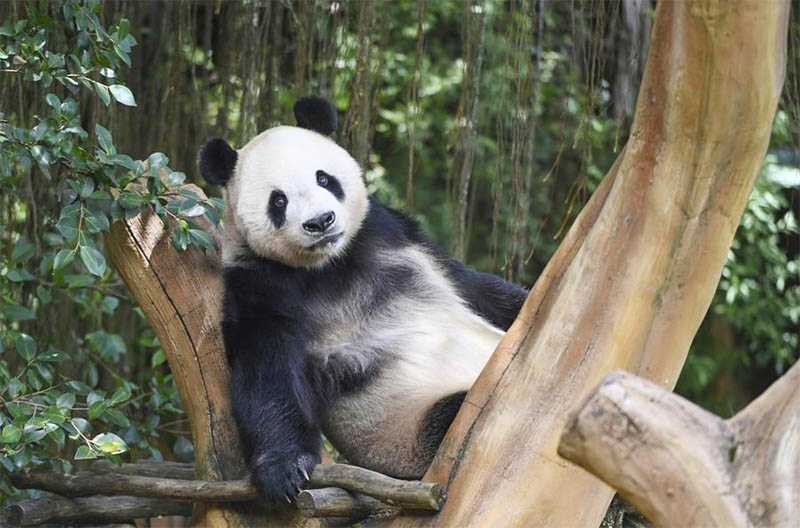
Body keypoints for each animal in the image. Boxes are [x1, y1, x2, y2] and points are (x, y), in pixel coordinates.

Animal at [197, 96, 527, 505]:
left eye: (324, 179)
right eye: (278, 201)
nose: (320, 222)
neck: (331, 265)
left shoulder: (392, 234)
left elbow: (478, 288)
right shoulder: (260, 284)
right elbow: (266, 372)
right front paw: (283, 472)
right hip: (415, 431)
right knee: (456, 414)